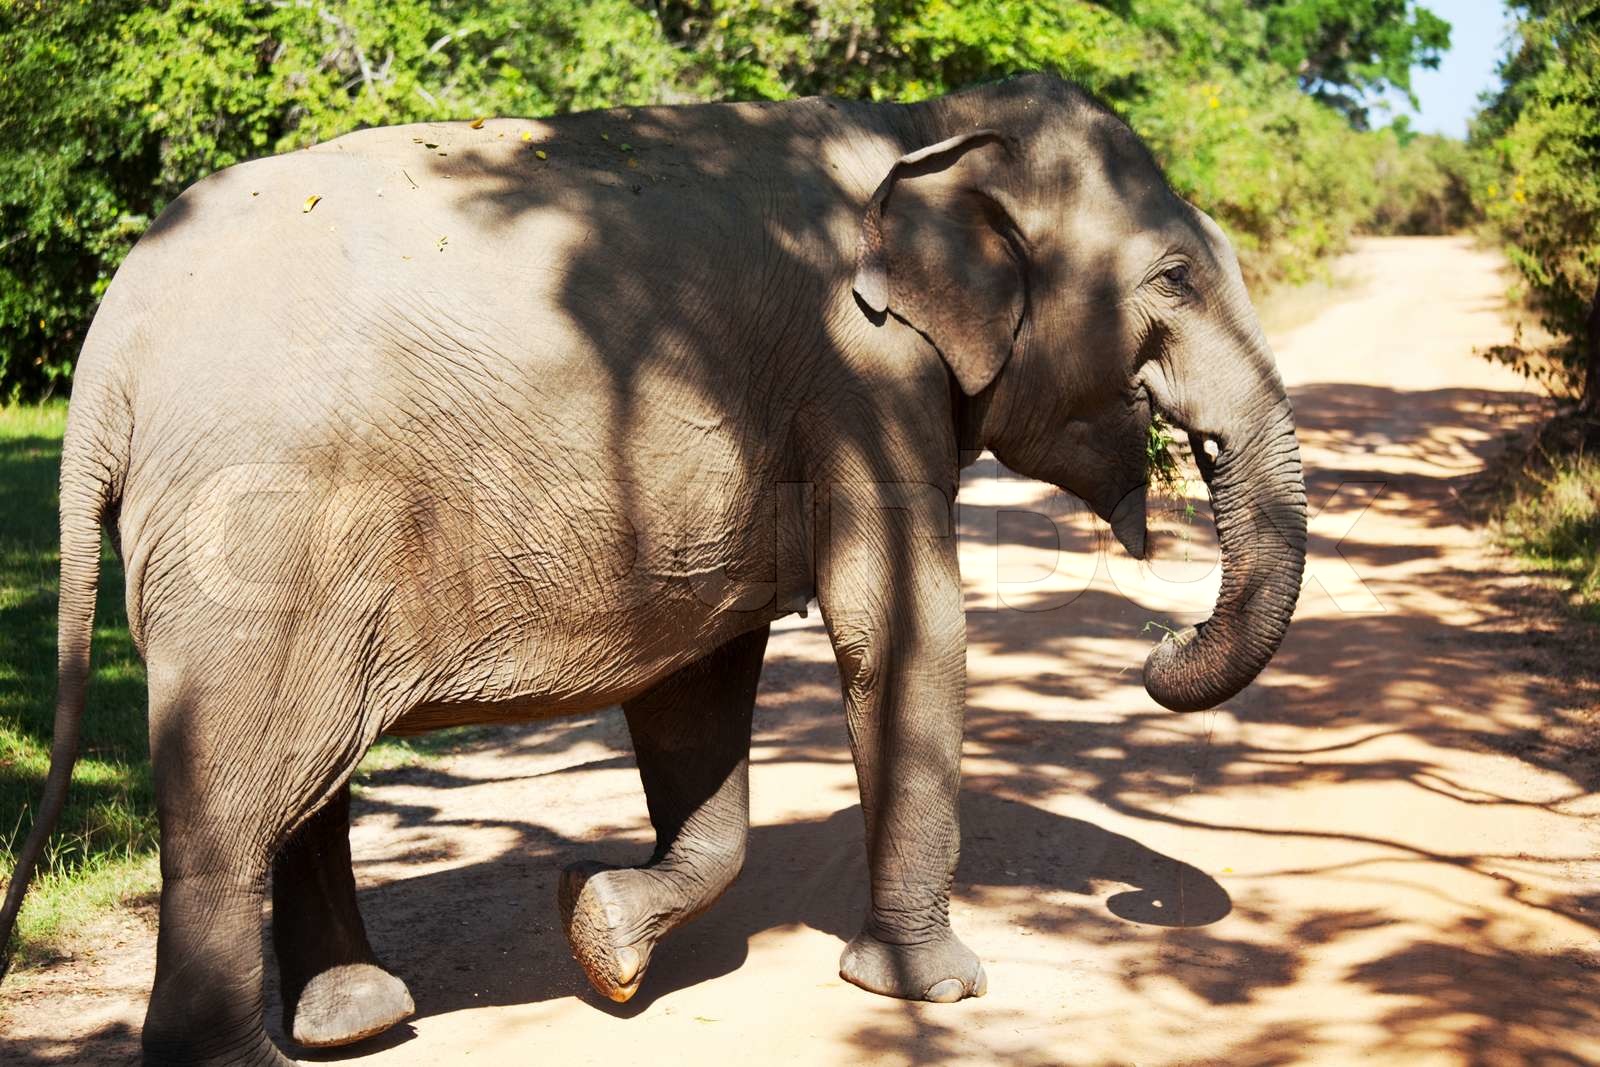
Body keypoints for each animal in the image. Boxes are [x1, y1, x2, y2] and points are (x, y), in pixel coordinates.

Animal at [0, 72, 1306, 1065]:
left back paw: (356, 1024)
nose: (1154, 646)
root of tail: (108, 352)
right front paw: (933, 989)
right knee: (235, 798)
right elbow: (902, 623)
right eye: (1176, 276)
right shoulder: (859, 373)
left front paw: (600, 932)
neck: (920, 123)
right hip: (257, 533)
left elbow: (700, 682)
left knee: (301, 778)